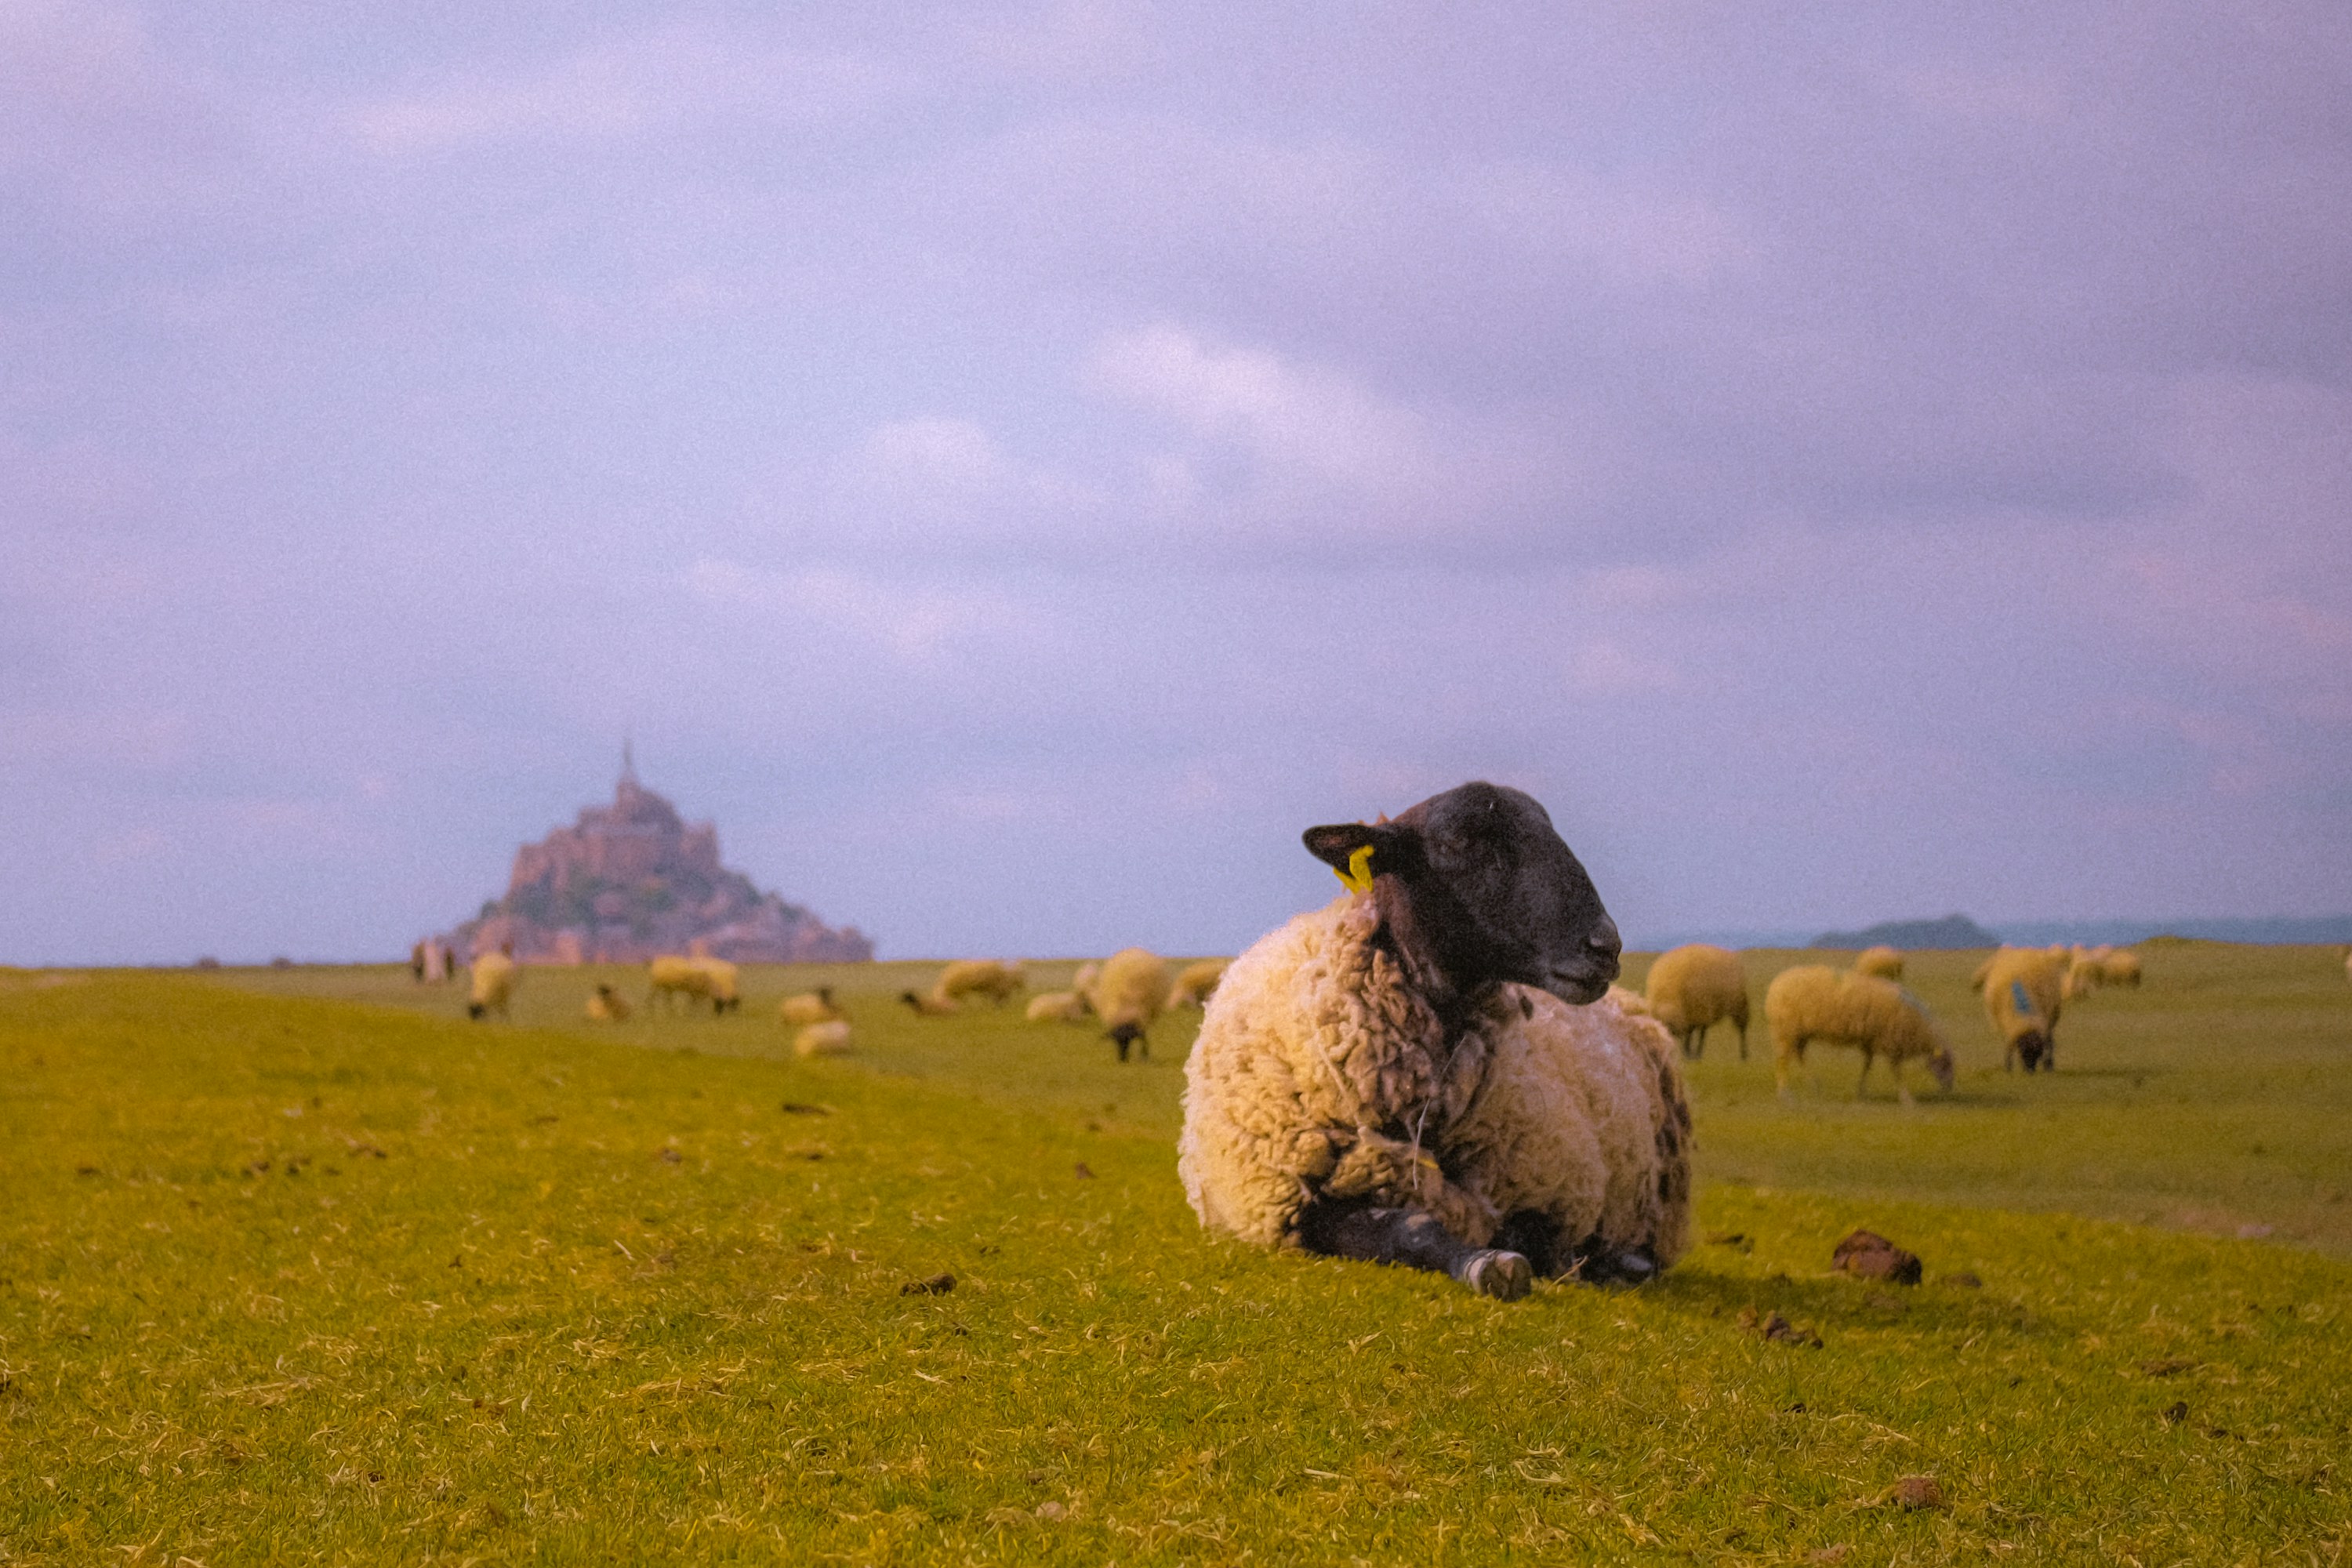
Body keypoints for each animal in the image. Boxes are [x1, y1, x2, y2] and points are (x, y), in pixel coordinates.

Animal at [1088, 948, 1170, 1061]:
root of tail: (1135, 948)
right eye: (1116, 1041)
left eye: (1129, 1040)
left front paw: (1144, 1054)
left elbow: (1143, 1037)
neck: (1125, 1008)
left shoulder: (1142, 1017)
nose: (1122, 1059)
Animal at [1178, 781, 1689, 1301]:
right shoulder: (1301, 1206)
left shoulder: (1554, 1190)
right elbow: (1412, 1228)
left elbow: (1531, 1231)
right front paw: (1488, 1264)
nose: (1606, 947)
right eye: (1461, 843)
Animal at [1644, 943, 1750, 1061]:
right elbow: (1689, 1034)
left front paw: (1691, 1054)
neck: (1668, 998)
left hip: (1737, 1003)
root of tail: (1732, 955)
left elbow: (1695, 1035)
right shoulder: (1688, 1015)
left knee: (1742, 1028)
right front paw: (1688, 1053)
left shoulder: (1698, 1011)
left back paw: (1744, 1054)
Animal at [1765, 965, 1954, 1105]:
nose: (1949, 1089)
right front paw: (1907, 1099)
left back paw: (1815, 1085)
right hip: (1786, 1029)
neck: (1918, 1027)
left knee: (1799, 1054)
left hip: (1800, 1032)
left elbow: (1867, 1065)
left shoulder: (1871, 1040)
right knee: (1782, 1059)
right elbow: (1896, 1072)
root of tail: (1776, 983)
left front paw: (1861, 1091)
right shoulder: (1890, 1041)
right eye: (1945, 1065)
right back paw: (1785, 1094)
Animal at [1974, 946, 2069, 1072]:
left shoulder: (2045, 1022)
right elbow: (2009, 1046)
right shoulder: (2009, 1025)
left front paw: (2048, 1067)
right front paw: (2008, 1068)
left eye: (2038, 1053)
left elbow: (2049, 1045)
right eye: (2022, 1052)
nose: (2030, 1071)